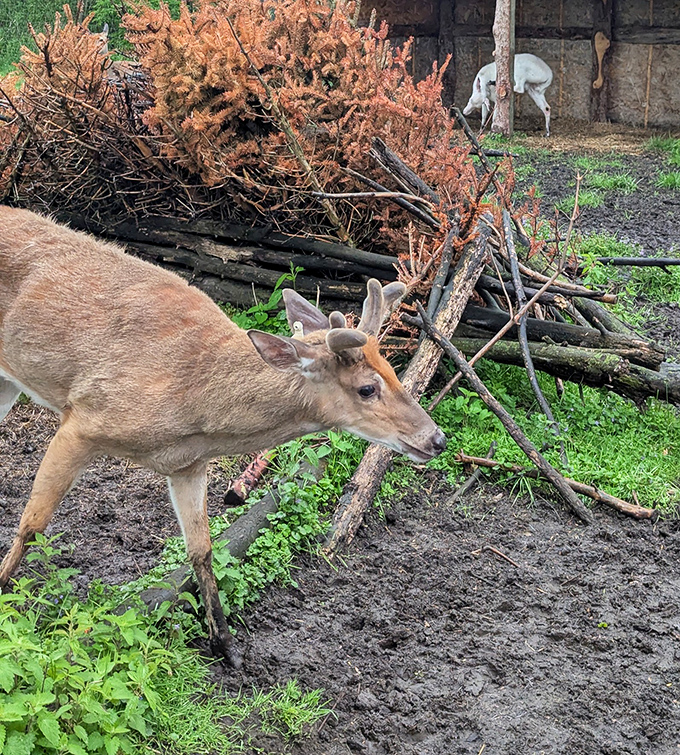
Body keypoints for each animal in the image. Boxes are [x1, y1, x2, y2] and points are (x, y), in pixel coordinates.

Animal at [0, 206, 446, 666]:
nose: (436, 439)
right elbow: (32, 524)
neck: (196, 406)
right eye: (367, 389)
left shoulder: (188, 465)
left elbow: (202, 549)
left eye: (393, 369)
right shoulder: (82, 420)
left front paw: (226, 647)